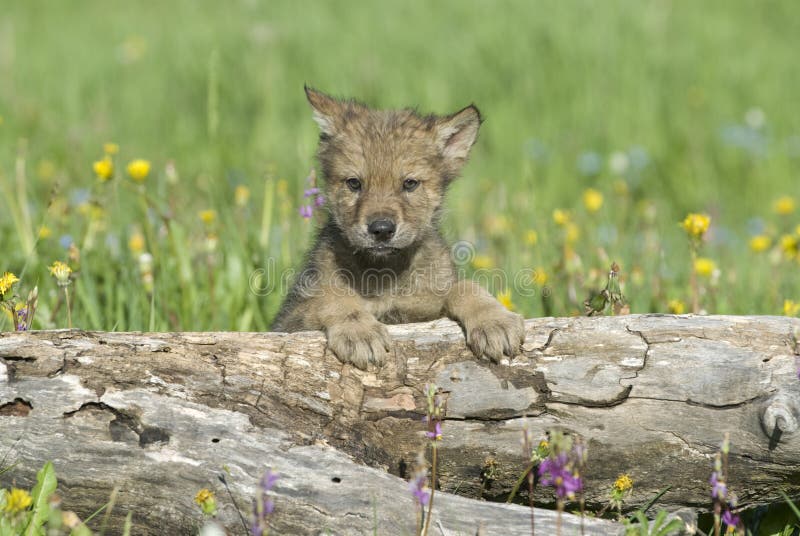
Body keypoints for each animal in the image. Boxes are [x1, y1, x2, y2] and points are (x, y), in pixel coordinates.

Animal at [271, 87, 525, 370]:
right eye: (354, 183)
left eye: (410, 184)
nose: (381, 229)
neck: (385, 274)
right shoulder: (290, 319)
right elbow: (330, 297)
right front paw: (359, 333)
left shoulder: (425, 305)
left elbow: (465, 286)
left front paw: (494, 321)